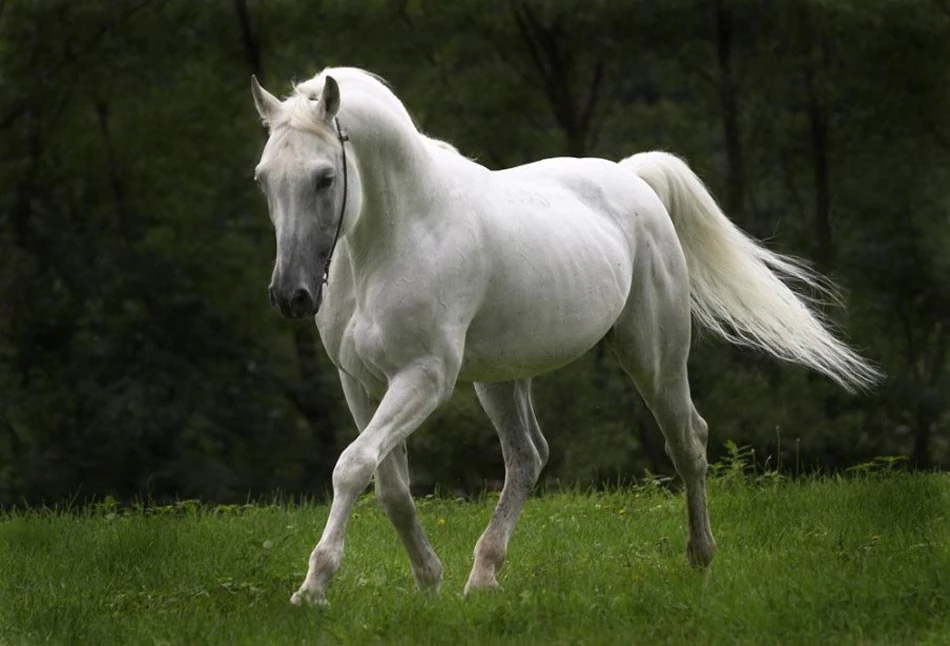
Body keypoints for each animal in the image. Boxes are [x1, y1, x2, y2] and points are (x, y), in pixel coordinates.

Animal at [249, 67, 880, 606]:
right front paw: (428, 581)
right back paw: (482, 578)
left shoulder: (424, 378)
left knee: (688, 442)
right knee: (528, 457)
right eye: (263, 180)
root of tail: (633, 178)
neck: (398, 235)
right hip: (501, 378)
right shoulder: (359, 383)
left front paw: (314, 586)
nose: (290, 296)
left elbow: (352, 466)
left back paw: (700, 557)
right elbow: (388, 484)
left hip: (653, 357)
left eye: (325, 178)